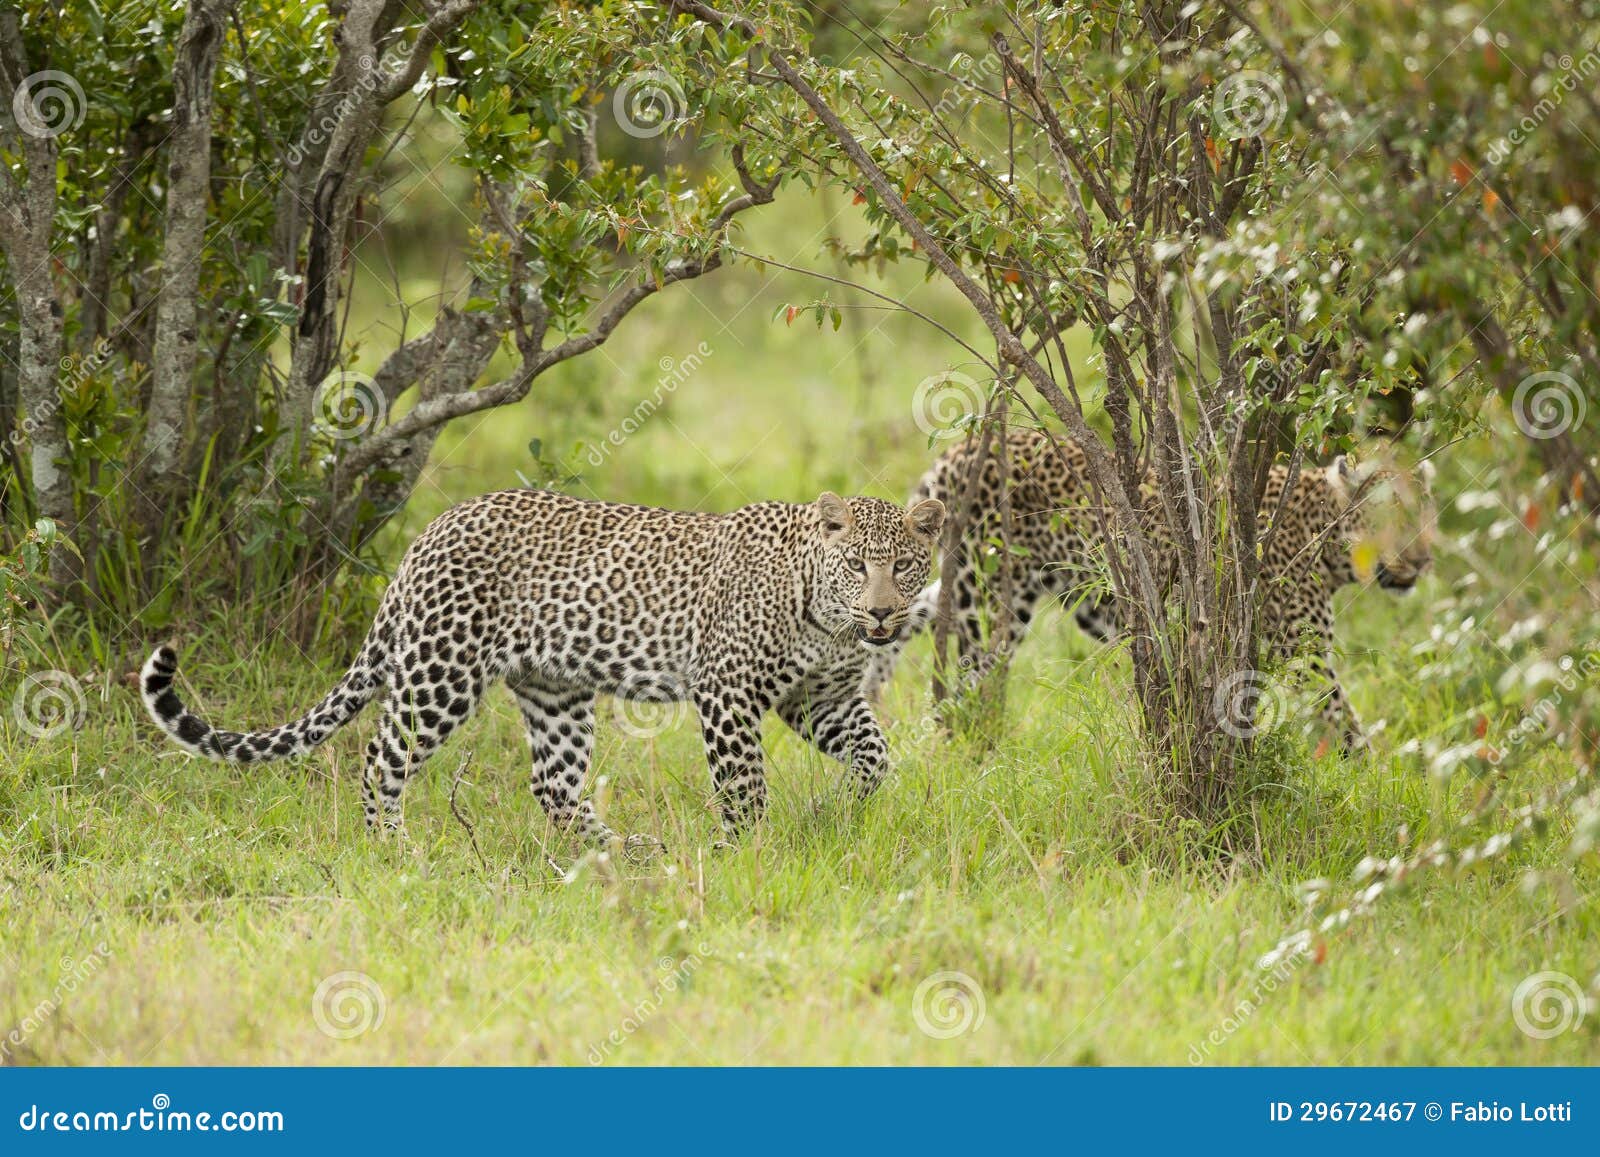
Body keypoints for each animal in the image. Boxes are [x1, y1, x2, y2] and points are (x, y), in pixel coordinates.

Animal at [141, 487, 946, 843]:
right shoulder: (728, 691)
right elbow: (743, 785)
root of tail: (426, 534)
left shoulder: (822, 699)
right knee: (380, 755)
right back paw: (390, 850)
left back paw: (620, 851)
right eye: (856, 565)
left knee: (551, 784)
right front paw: (742, 851)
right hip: (442, 669)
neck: (829, 620)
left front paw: (840, 811)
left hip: (553, 689)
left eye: (906, 565)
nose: (883, 614)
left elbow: (876, 756)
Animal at [864, 428, 1435, 751]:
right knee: (960, 685)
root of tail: (957, 451)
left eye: (1425, 513)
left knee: (900, 621)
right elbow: (1343, 722)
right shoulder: (1305, 657)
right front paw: (1375, 784)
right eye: (1386, 516)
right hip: (986, 600)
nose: (1423, 560)